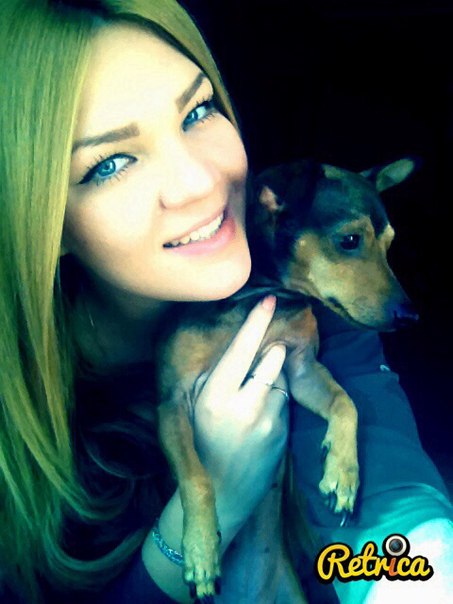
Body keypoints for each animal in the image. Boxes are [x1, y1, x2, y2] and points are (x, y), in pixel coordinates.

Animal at [155, 158, 418, 602]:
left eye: (390, 245)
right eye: (349, 240)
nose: (410, 317)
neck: (263, 297)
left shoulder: (301, 369)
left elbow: (347, 403)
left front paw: (343, 473)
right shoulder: (171, 400)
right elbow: (196, 477)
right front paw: (201, 551)